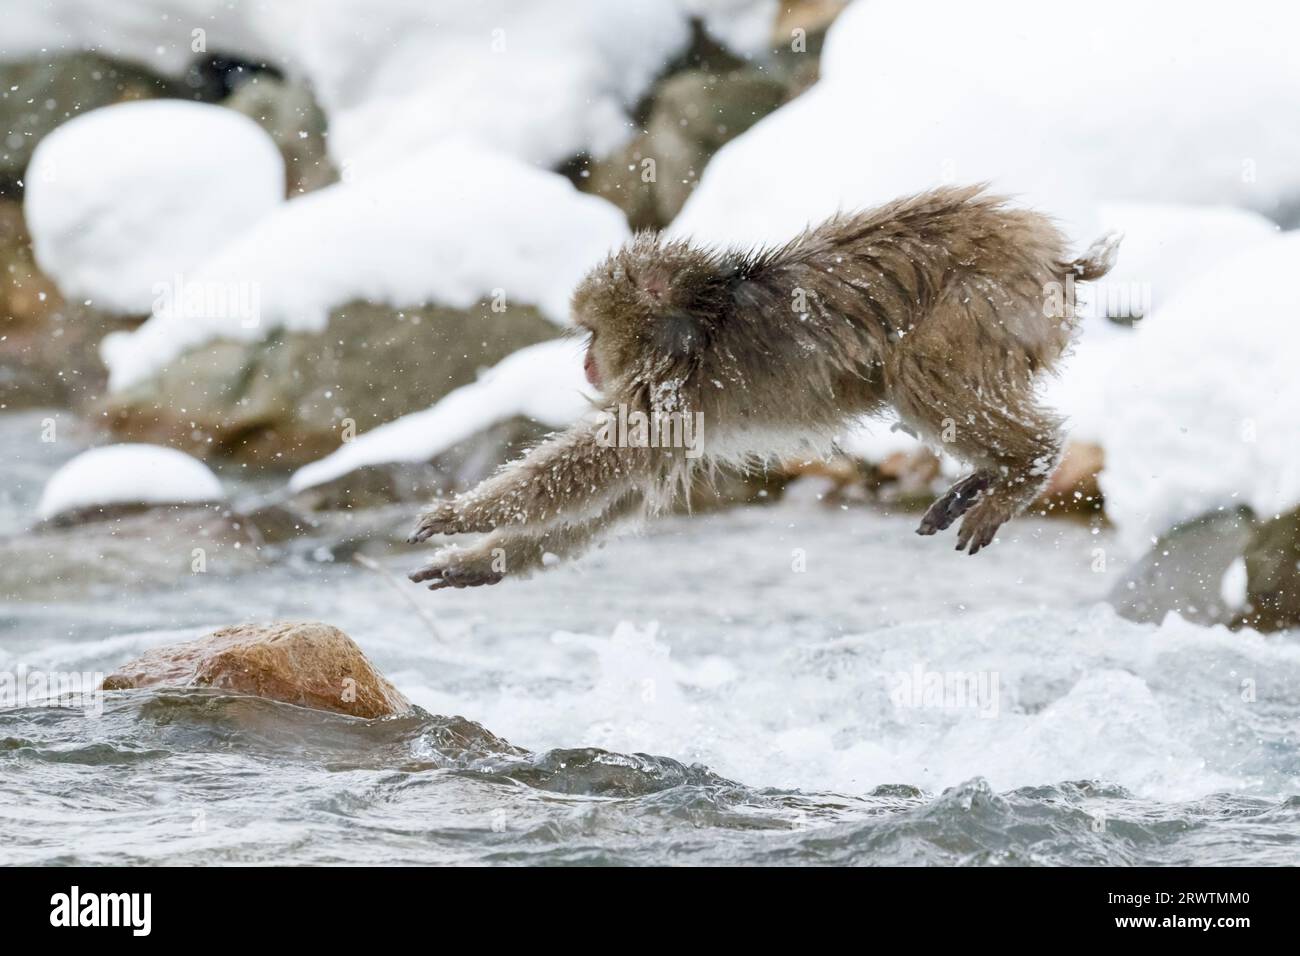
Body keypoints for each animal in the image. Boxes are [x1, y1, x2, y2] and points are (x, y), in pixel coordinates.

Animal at [407, 184, 1119, 589]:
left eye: (590, 331)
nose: (586, 362)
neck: (698, 319)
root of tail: (1053, 258)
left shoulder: (671, 392)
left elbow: (610, 459)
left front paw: (460, 517)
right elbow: (620, 497)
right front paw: (480, 561)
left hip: (981, 305)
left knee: (919, 374)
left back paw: (1026, 467)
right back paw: (984, 479)